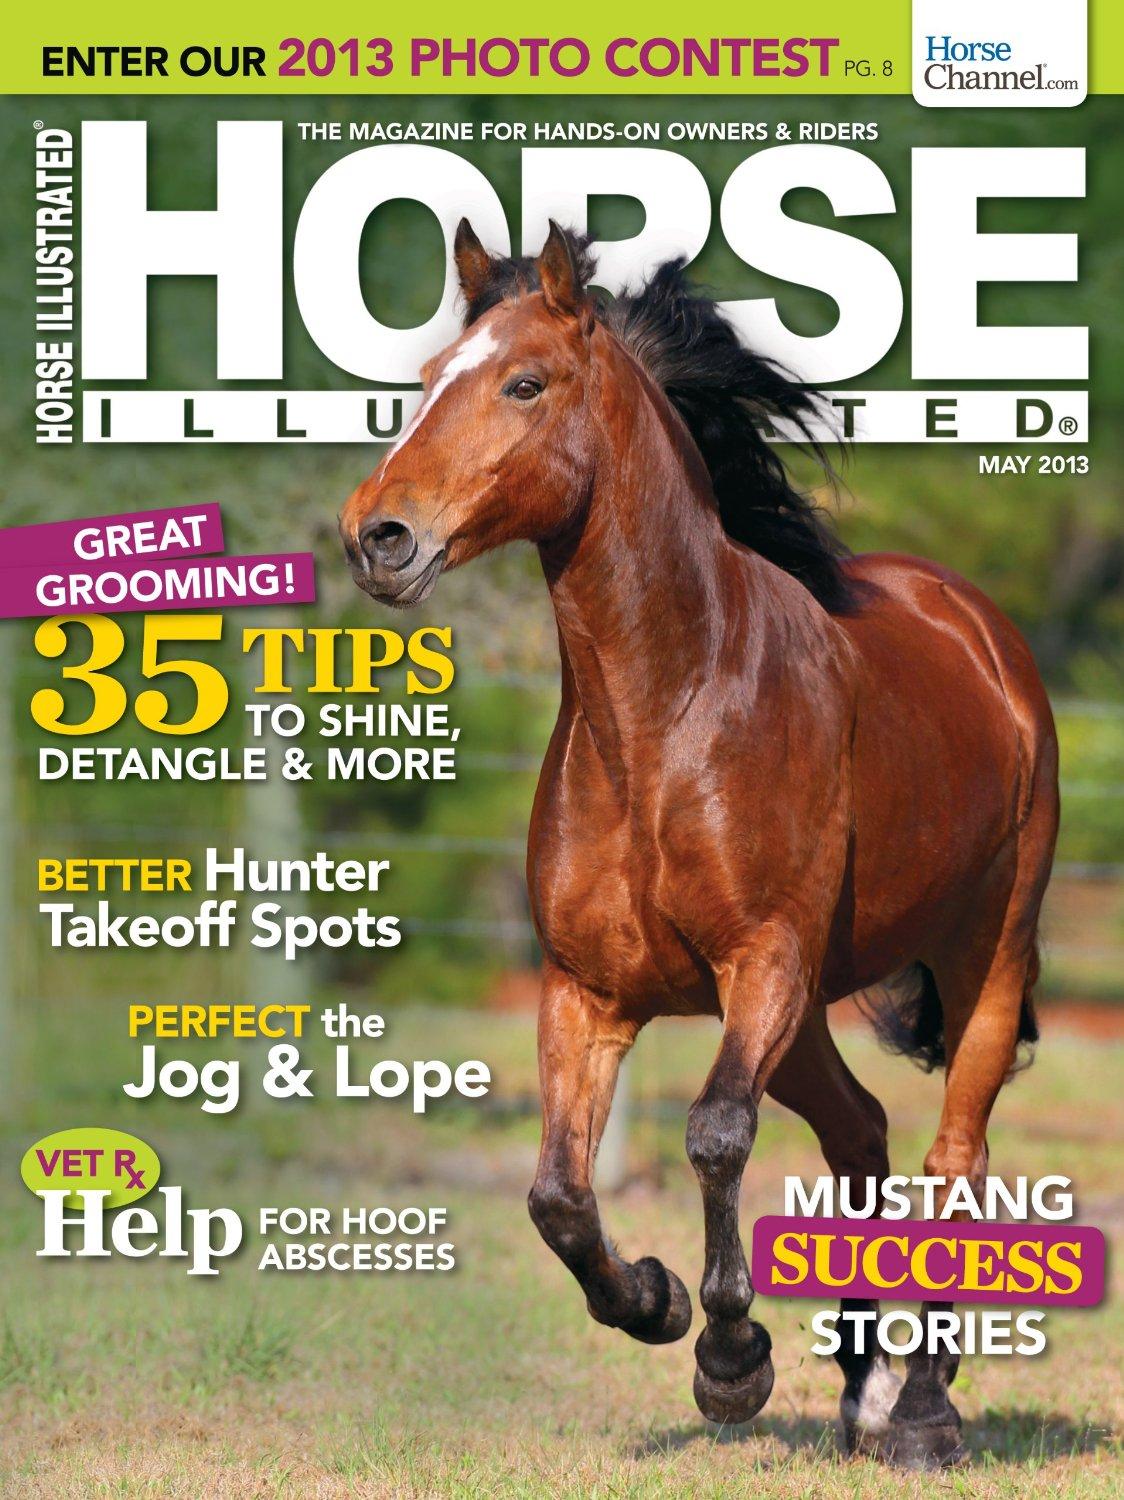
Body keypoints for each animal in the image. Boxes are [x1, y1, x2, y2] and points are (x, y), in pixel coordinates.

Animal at [340, 221, 1059, 1469]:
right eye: (426, 379)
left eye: (525, 383)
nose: (378, 537)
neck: (666, 718)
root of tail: (983, 636)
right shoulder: (588, 992)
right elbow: (556, 1196)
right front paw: (654, 1300)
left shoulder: (759, 961)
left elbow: (716, 1134)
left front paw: (729, 1361)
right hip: (810, 1006)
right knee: (859, 1134)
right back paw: (861, 1392)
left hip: (982, 957)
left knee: (951, 1161)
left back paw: (922, 1410)